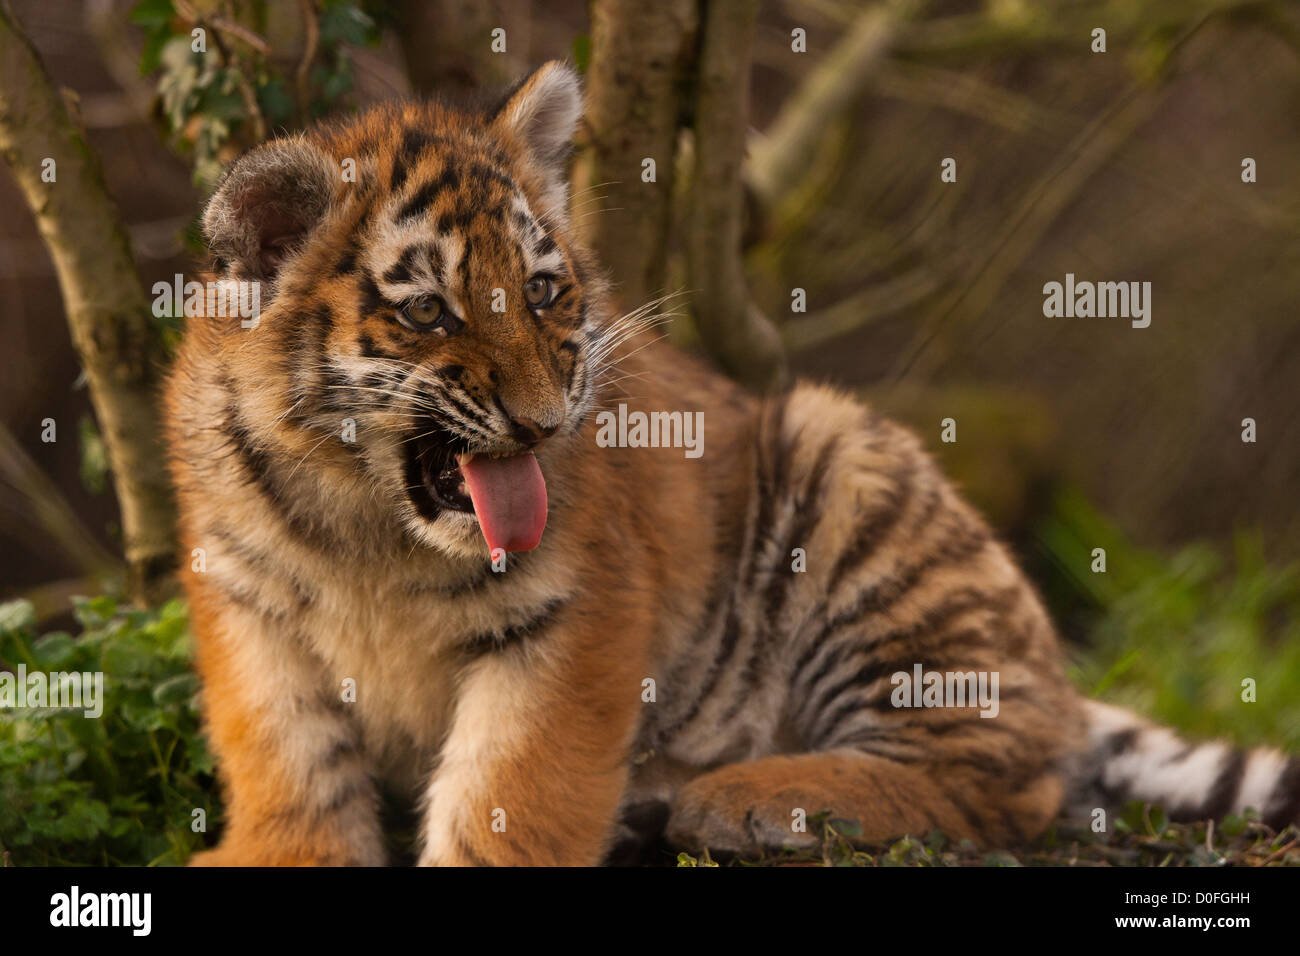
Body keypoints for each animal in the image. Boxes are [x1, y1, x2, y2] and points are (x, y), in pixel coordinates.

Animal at [165, 60, 1299, 866]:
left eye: (541, 292)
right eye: (430, 312)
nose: (543, 422)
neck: (372, 529)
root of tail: (1056, 685)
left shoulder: (574, 614)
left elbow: (507, 792)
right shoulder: (248, 603)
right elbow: (288, 761)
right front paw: (283, 852)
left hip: (848, 479)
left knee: (1001, 779)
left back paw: (745, 798)